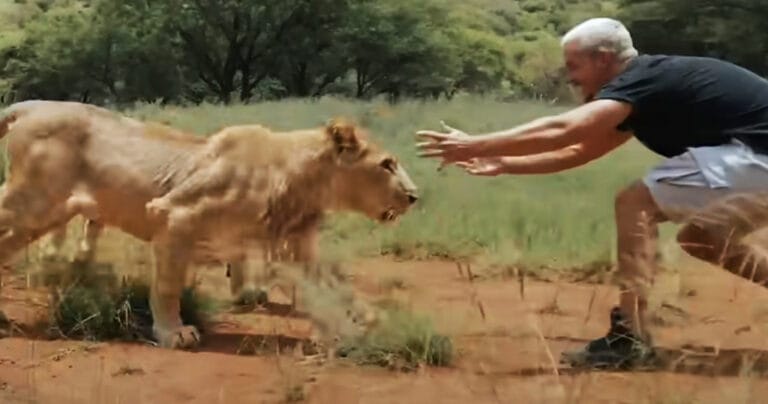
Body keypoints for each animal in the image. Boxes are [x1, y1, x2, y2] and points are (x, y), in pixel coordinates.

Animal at [0, 100, 419, 349]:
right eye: (387, 165)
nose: (415, 196)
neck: (305, 183)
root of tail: (33, 105)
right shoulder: (173, 213)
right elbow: (168, 286)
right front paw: (173, 333)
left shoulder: (299, 245)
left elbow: (339, 286)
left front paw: (369, 320)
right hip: (31, 204)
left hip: (45, 214)